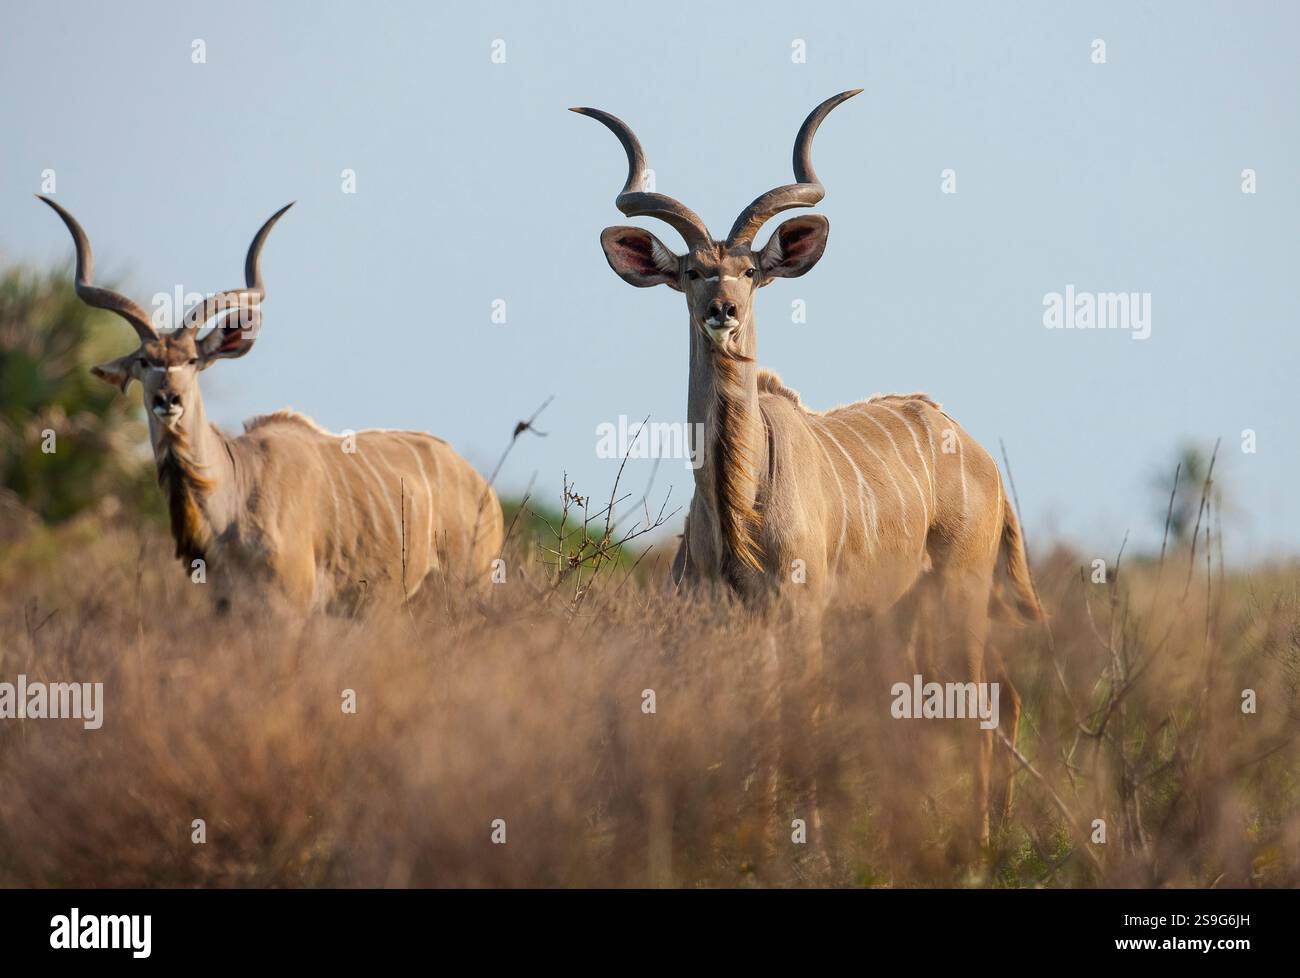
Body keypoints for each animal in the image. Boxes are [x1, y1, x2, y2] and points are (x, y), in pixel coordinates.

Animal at [38, 197, 503, 616]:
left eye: (191, 360)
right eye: (143, 361)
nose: (167, 399)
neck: (234, 495)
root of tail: (481, 485)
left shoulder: (290, 612)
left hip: (469, 590)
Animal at [573, 92, 1043, 849]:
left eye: (749, 271)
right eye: (691, 271)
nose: (723, 311)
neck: (740, 509)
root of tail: (982, 460)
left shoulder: (801, 612)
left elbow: (796, 715)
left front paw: (798, 839)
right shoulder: (717, 618)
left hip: (958, 594)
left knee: (978, 698)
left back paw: (978, 840)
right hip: (907, 613)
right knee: (990, 693)